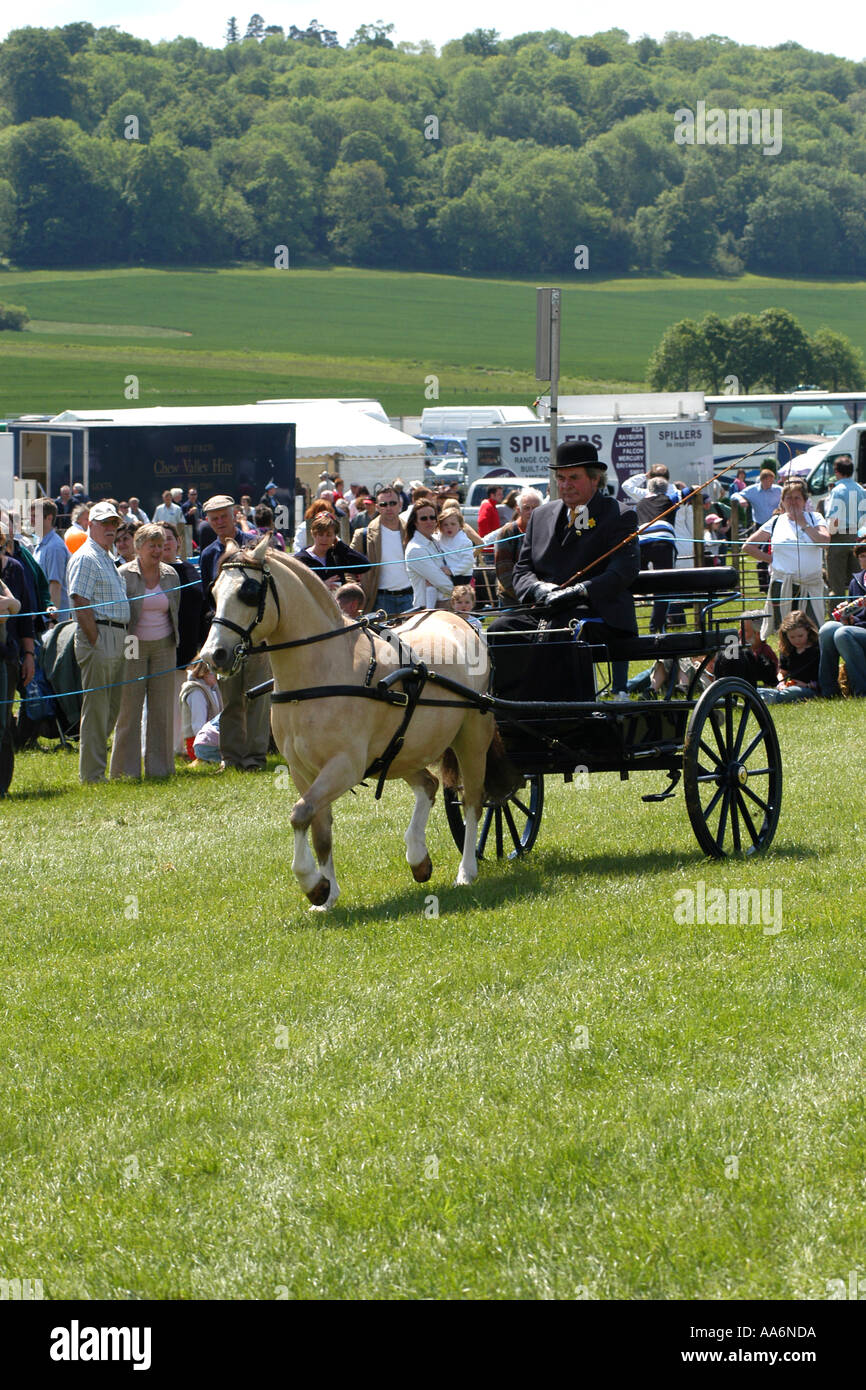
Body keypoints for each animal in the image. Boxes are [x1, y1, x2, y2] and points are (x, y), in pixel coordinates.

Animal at [199, 535, 509, 909]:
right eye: (214, 592)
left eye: (248, 591)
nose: (214, 655)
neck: (321, 673)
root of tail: (458, 618)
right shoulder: (303, 771)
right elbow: (319, 829)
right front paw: (326, 895)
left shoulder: (345, 766)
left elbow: (299, 814)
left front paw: (311, 883)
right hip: (401, 751)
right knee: (429, 785)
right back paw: (418, 858)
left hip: (472, 736)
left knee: (474, 801)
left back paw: (466, 871)